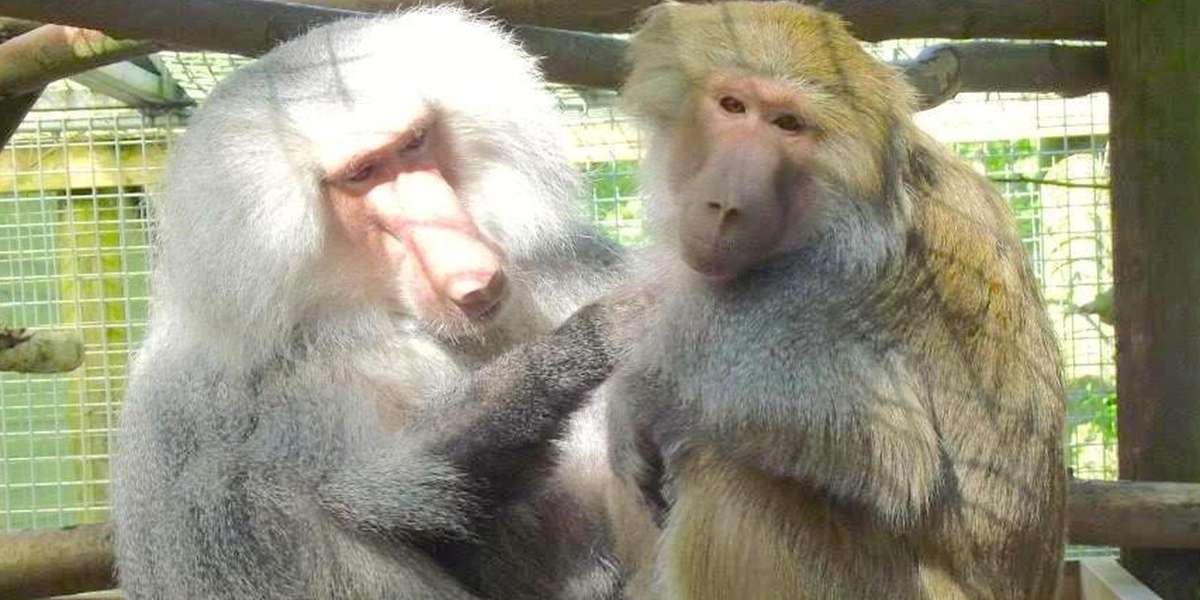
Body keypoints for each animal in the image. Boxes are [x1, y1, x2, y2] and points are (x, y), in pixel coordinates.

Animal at [112, 8, 630, 599]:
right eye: (361, 173)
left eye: (413, 143)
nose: (475, 276)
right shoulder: (303, 390)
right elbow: (390, 491)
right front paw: (583, 345)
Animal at [604, 3, 1067, 599]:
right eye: (733, 105)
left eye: (788, 124)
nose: (725, 206)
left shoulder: (807, 290)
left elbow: (893, 454)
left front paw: (642, 398)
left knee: (727, 482)